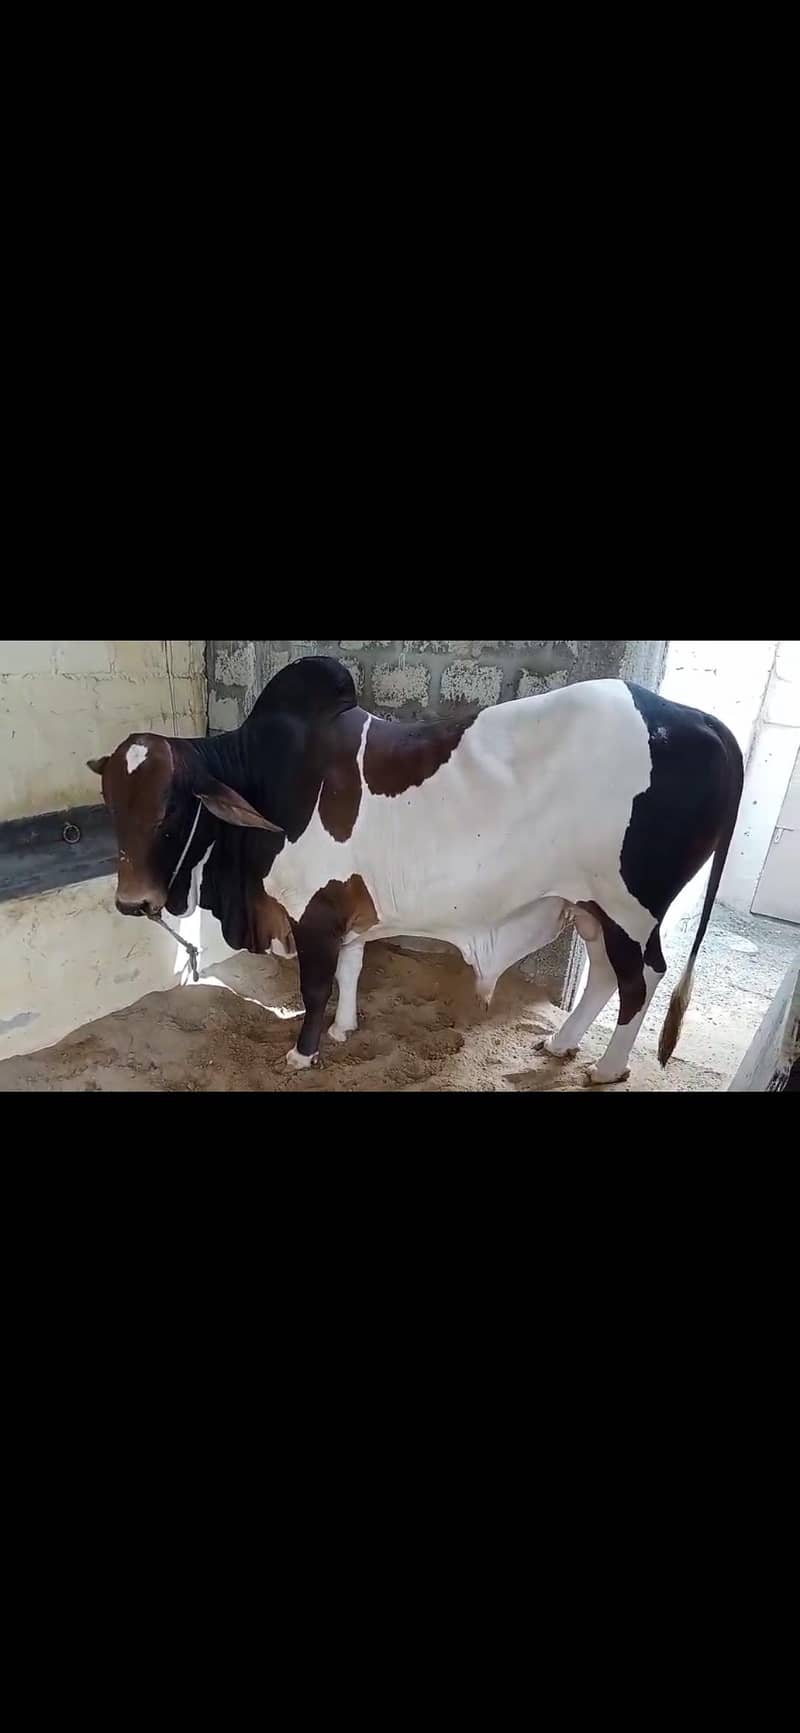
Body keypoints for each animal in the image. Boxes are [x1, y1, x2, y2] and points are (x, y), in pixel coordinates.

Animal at [88, 655, 744, 1085]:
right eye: (111, 803)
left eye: (173, 807)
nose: (132, 901)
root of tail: (698, 718)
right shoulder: (348, 911)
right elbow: (352, 969)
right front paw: (346, 1030)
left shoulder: (314, 915)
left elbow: (316, 986)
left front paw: (304, 1053)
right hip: (587, 904)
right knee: (608, 974)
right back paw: (560, 1043)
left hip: (630, 908)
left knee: (643, 980)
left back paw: (607, 1068)